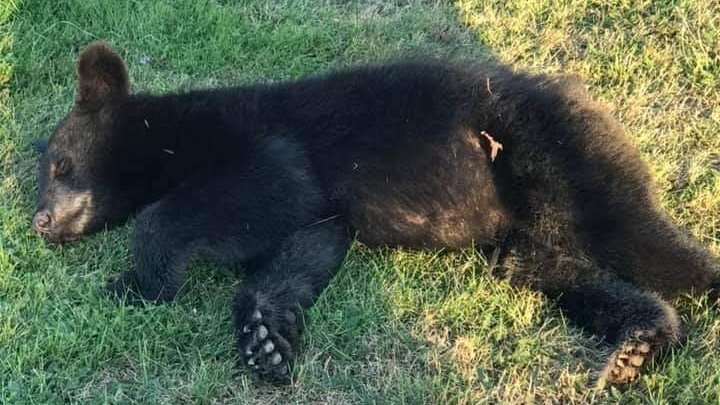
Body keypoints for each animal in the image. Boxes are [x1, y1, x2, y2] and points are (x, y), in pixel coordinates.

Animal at [33, 42, 720, 385]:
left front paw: (137, 281)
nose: (40, 222)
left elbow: (270, 188)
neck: (173, 135)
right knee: (558, 269)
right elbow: (306, 242)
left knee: (642, 240)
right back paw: (639, 345)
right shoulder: (322, 214)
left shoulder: (261, 138)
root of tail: (588, 101)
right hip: (527, 227)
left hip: (550, 148)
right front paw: (266, 339)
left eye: (60, 166)